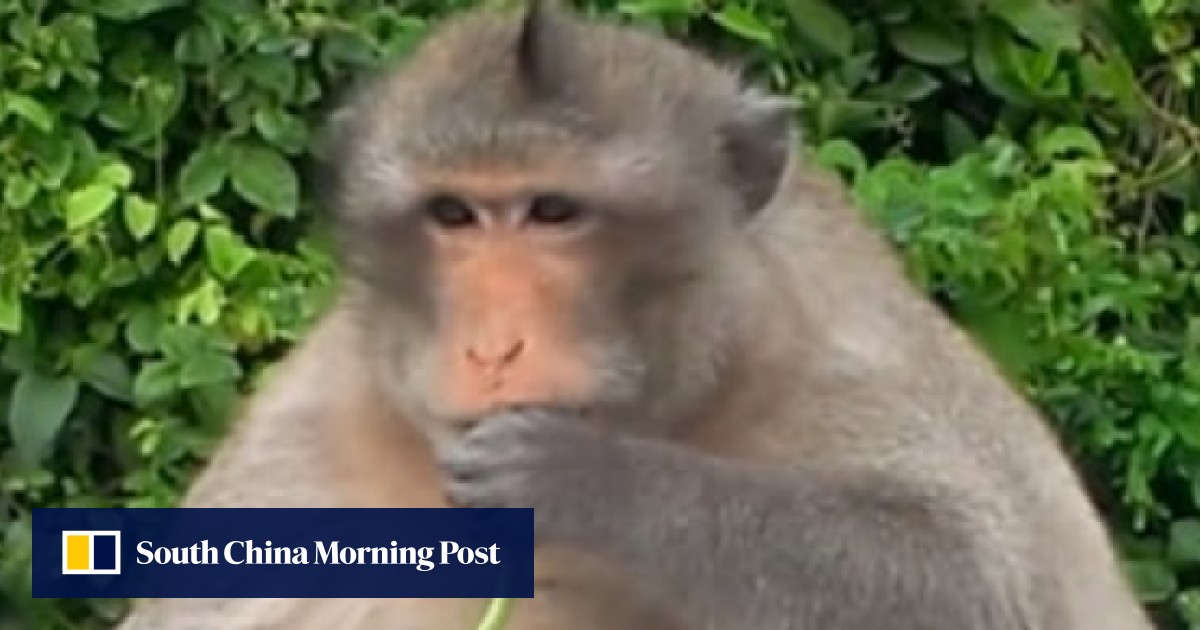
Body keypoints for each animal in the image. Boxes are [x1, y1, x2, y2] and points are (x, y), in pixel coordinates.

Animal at [116, 1, 1155, 629]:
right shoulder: (306, 447)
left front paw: (592, 482)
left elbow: (976, 575)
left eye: (553, 211)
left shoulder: (844, 350)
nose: (492, 346)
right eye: (453, 215)